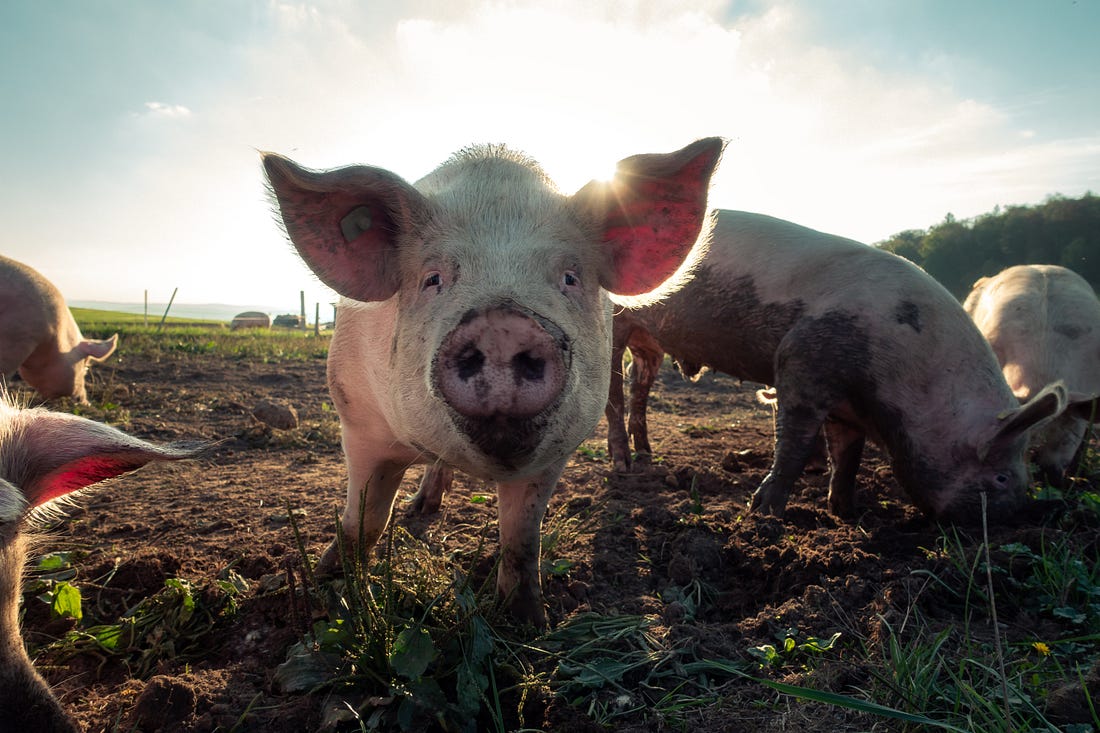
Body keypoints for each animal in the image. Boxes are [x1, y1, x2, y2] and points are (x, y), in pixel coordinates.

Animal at [263, 139, 724, 626]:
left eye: (569, 277)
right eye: (433, 278)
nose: (503, 324)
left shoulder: (556, 452)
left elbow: (521, 538)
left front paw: (527, 623)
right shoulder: (358, 419)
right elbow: (364, 520)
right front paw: (329, 588)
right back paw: (420, 509)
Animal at [603, 210, 1068, 522]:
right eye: (1001, 477)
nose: (1018, 519)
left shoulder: (849, 408)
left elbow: (848, 455)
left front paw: (847, 512)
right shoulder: (800, 362)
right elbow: (794, 443)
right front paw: (763, 514)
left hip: (650, 342)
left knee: (638, 384)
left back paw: (647, 456)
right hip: (615, 324)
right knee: (612, 393)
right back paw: (623, 465)